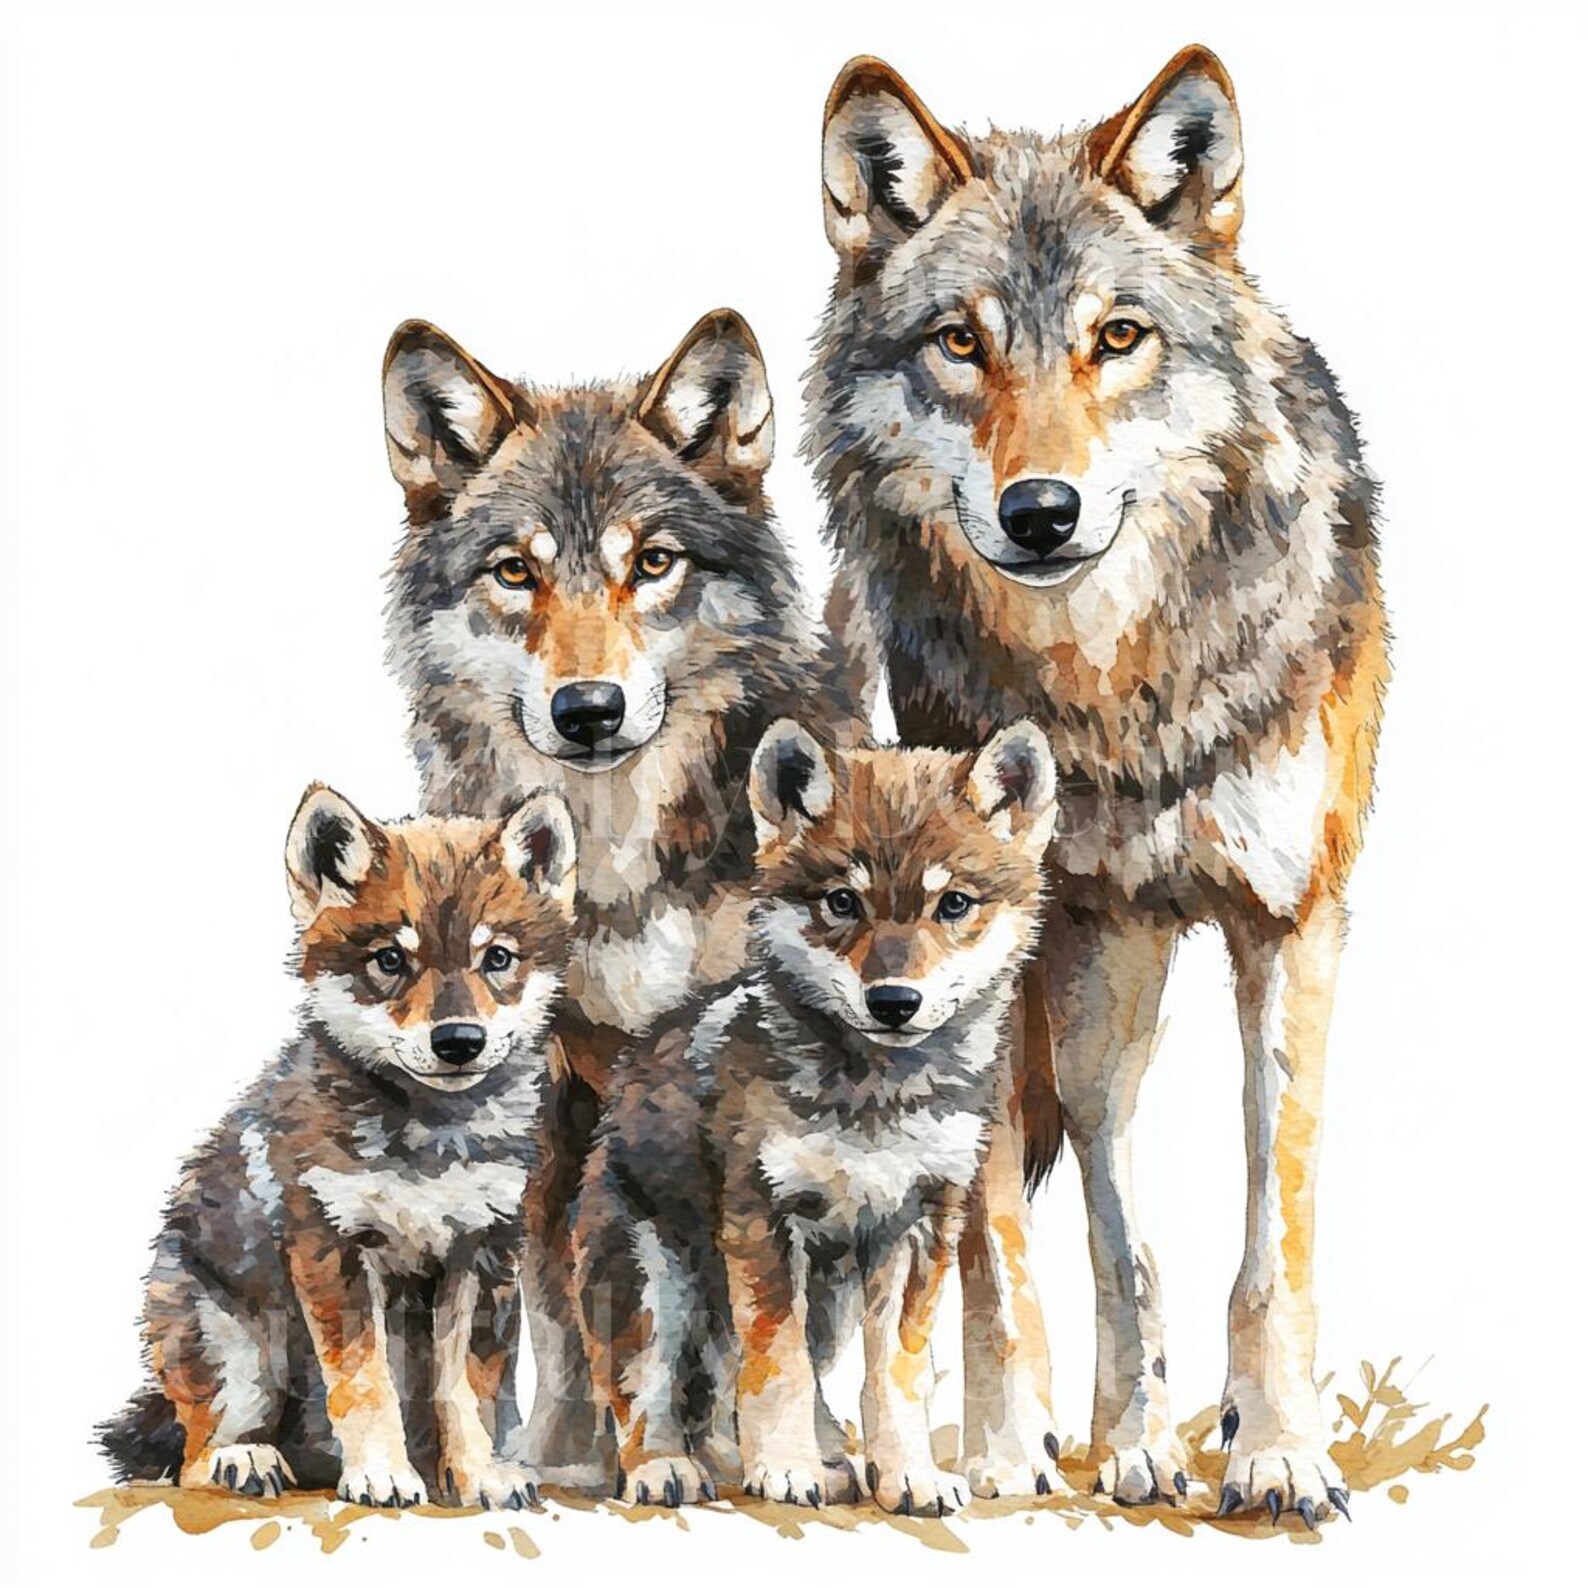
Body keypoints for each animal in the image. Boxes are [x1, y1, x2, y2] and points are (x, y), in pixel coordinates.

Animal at [100, 785, 578, 1508]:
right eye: (390, 960)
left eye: (496, 958)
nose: (458, 1041)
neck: (432, 1136)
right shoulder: (335, 1248)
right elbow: (363, 1381)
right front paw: (382, 1473)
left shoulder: (484, 1251)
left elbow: (466, 1389)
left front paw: (480, 1476)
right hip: (241, 1353)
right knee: (194, 1453)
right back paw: (246, 1459)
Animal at [382, 310, 826, 1484]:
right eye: (514, 573)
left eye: (653, 562)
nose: (589, 709)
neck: (616, 863)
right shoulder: (542, 1087)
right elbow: (556, 1292)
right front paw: (566, 1446)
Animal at [573, 718, 1058, 1512]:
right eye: (841, 902)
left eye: (953, 904)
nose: (893, 1001)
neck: (877, 1101)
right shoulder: (766, 1220)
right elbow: (779, 1364)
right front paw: (787, 1469)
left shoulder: (920, 1227)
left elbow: (895, 1375)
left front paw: (909, 1475)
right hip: (658, 1283)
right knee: (647, 1392)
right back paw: (664, 1468)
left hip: (825, 1302)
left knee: (728, 1392)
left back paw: (822, 1462)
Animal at [808, 46, 1387, 1520]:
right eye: (960, 343)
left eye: (1117, 338)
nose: (1041, 513)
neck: (1118, 700)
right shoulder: (1009, 945)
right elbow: (1006, 1237)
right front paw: (1011, 1445)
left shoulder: (1292, 920)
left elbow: (1276, 1227)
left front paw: (1281, 1448)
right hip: (1093, 981)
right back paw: (1110, 1437)